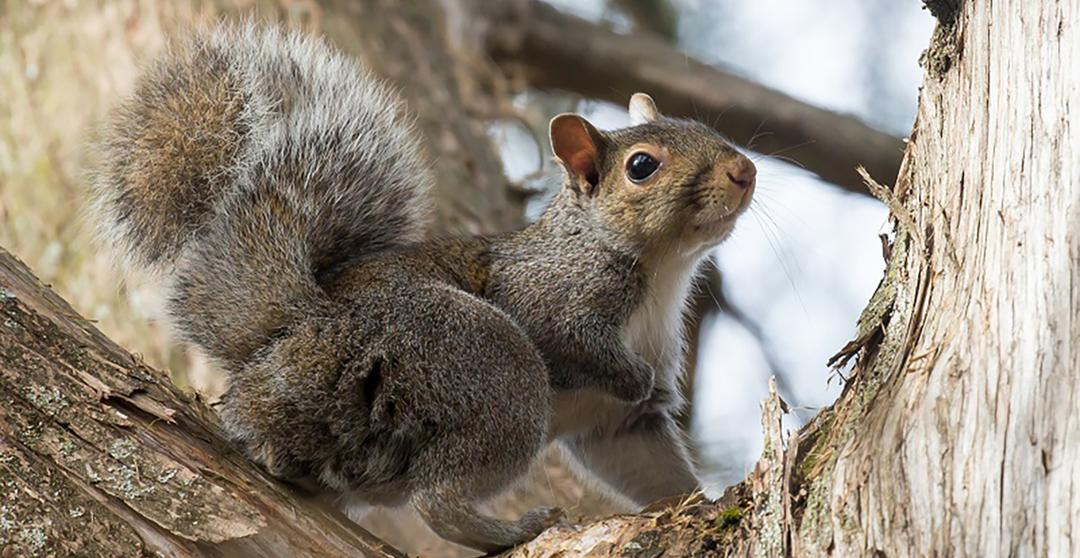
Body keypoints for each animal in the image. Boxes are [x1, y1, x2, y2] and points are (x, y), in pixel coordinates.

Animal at [89, 24, 756, 553]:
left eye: (699, 123)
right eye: (642, 166)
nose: (744, 169)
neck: (662, 275)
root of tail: (294, 334)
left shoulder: (623, 426)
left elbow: (650, 468)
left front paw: (705, 503)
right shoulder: (549, 292)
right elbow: (572, 339)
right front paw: (629, 374)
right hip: (490, 365)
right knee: (438, 502)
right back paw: (516, 528)